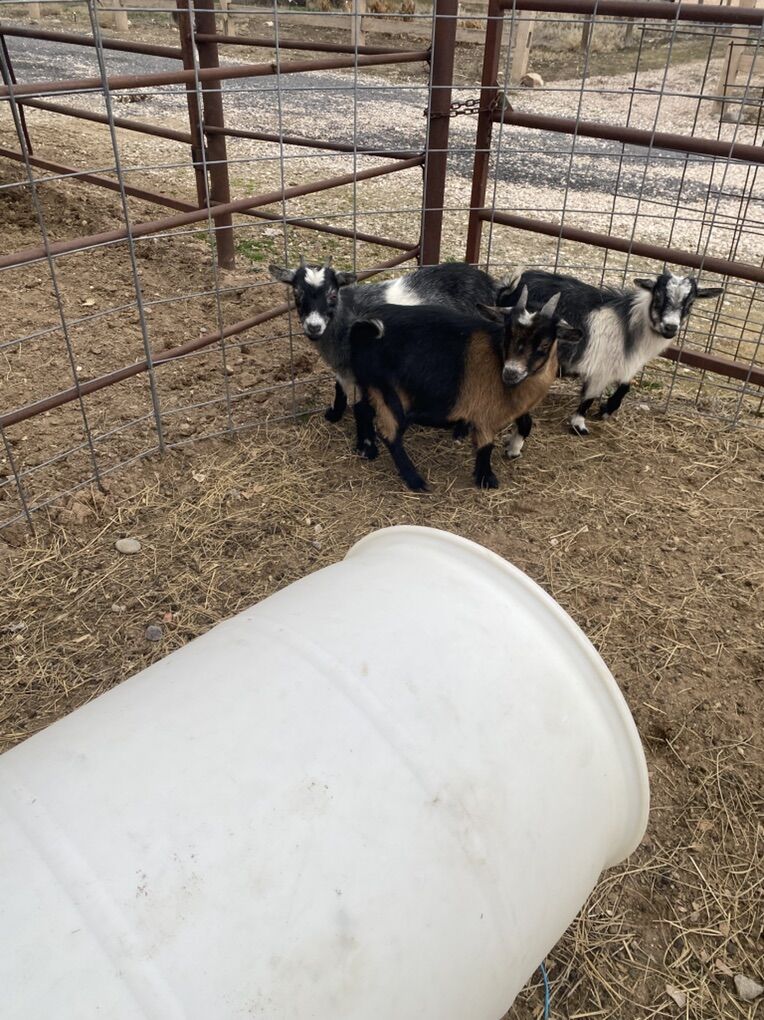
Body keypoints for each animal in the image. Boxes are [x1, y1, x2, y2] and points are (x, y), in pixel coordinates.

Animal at [268, 257, 498, 452]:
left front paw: (365, 445)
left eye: (333, 295)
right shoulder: (344, 366)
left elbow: (362, 407)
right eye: (297, 294)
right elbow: (339, 388)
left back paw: (460, 431)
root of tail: (489, 283)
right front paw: (334, 415)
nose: (314, 327)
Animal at [348, 288, 581, 491]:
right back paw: (415, 480)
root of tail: (364, 330)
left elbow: (526, 422)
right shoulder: (485, 410)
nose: (510, 373)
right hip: (389, 391)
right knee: (390, 433)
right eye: (508, 334)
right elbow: (486, 446)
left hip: (369, 383)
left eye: (544, 344)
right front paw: (486, 478)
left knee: (362, 409)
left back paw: (367, 447)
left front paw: (513, 449)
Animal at [499, 267, 723, 435]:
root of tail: (511, 288)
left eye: (690, 303)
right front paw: (579, 424)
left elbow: (625, 386)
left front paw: (606, 409)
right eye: (658, 297)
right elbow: (589, 396)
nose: (670, 327)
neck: (630, 326)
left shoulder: (621, 364)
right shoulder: (601, 366)